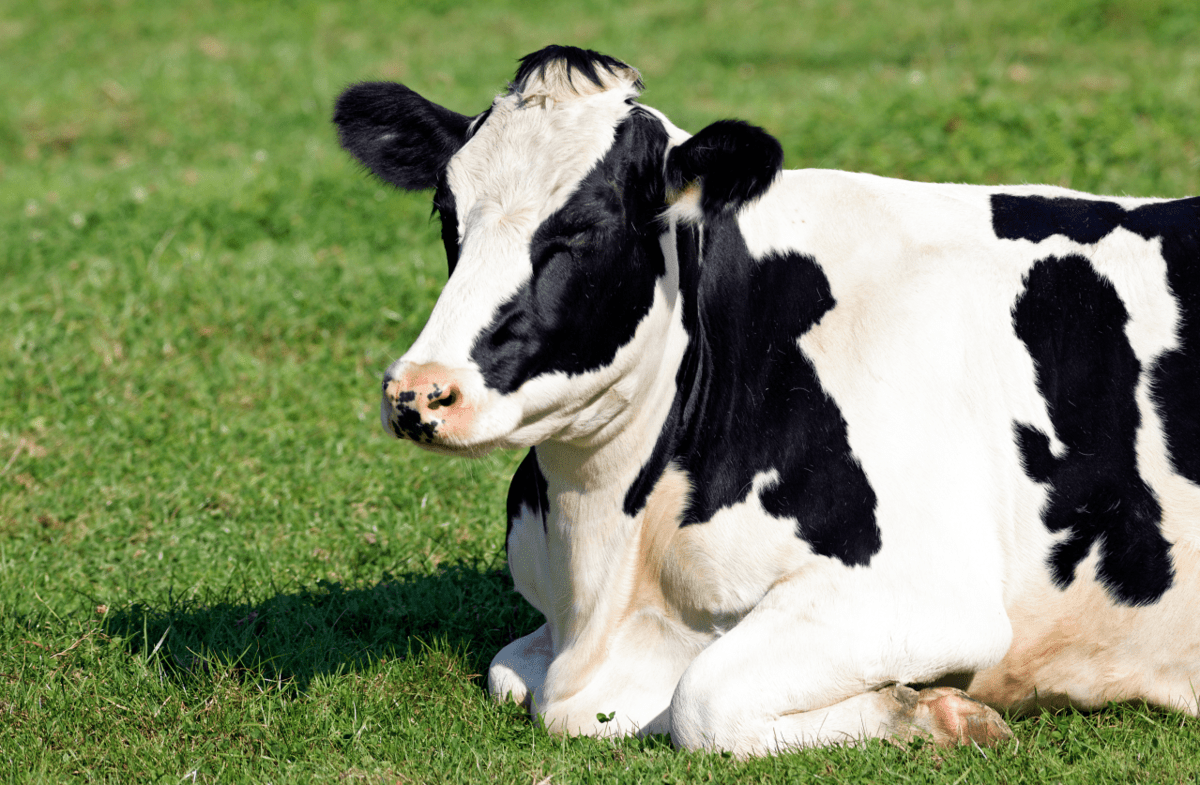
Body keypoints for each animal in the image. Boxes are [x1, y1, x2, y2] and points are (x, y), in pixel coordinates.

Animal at [334, 45, 1200, 756]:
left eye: (587, 227)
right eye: (447, 212)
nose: (419, 391)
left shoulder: (927, 594)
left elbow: (703, 701)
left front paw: (936, 713)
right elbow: (507, 669)